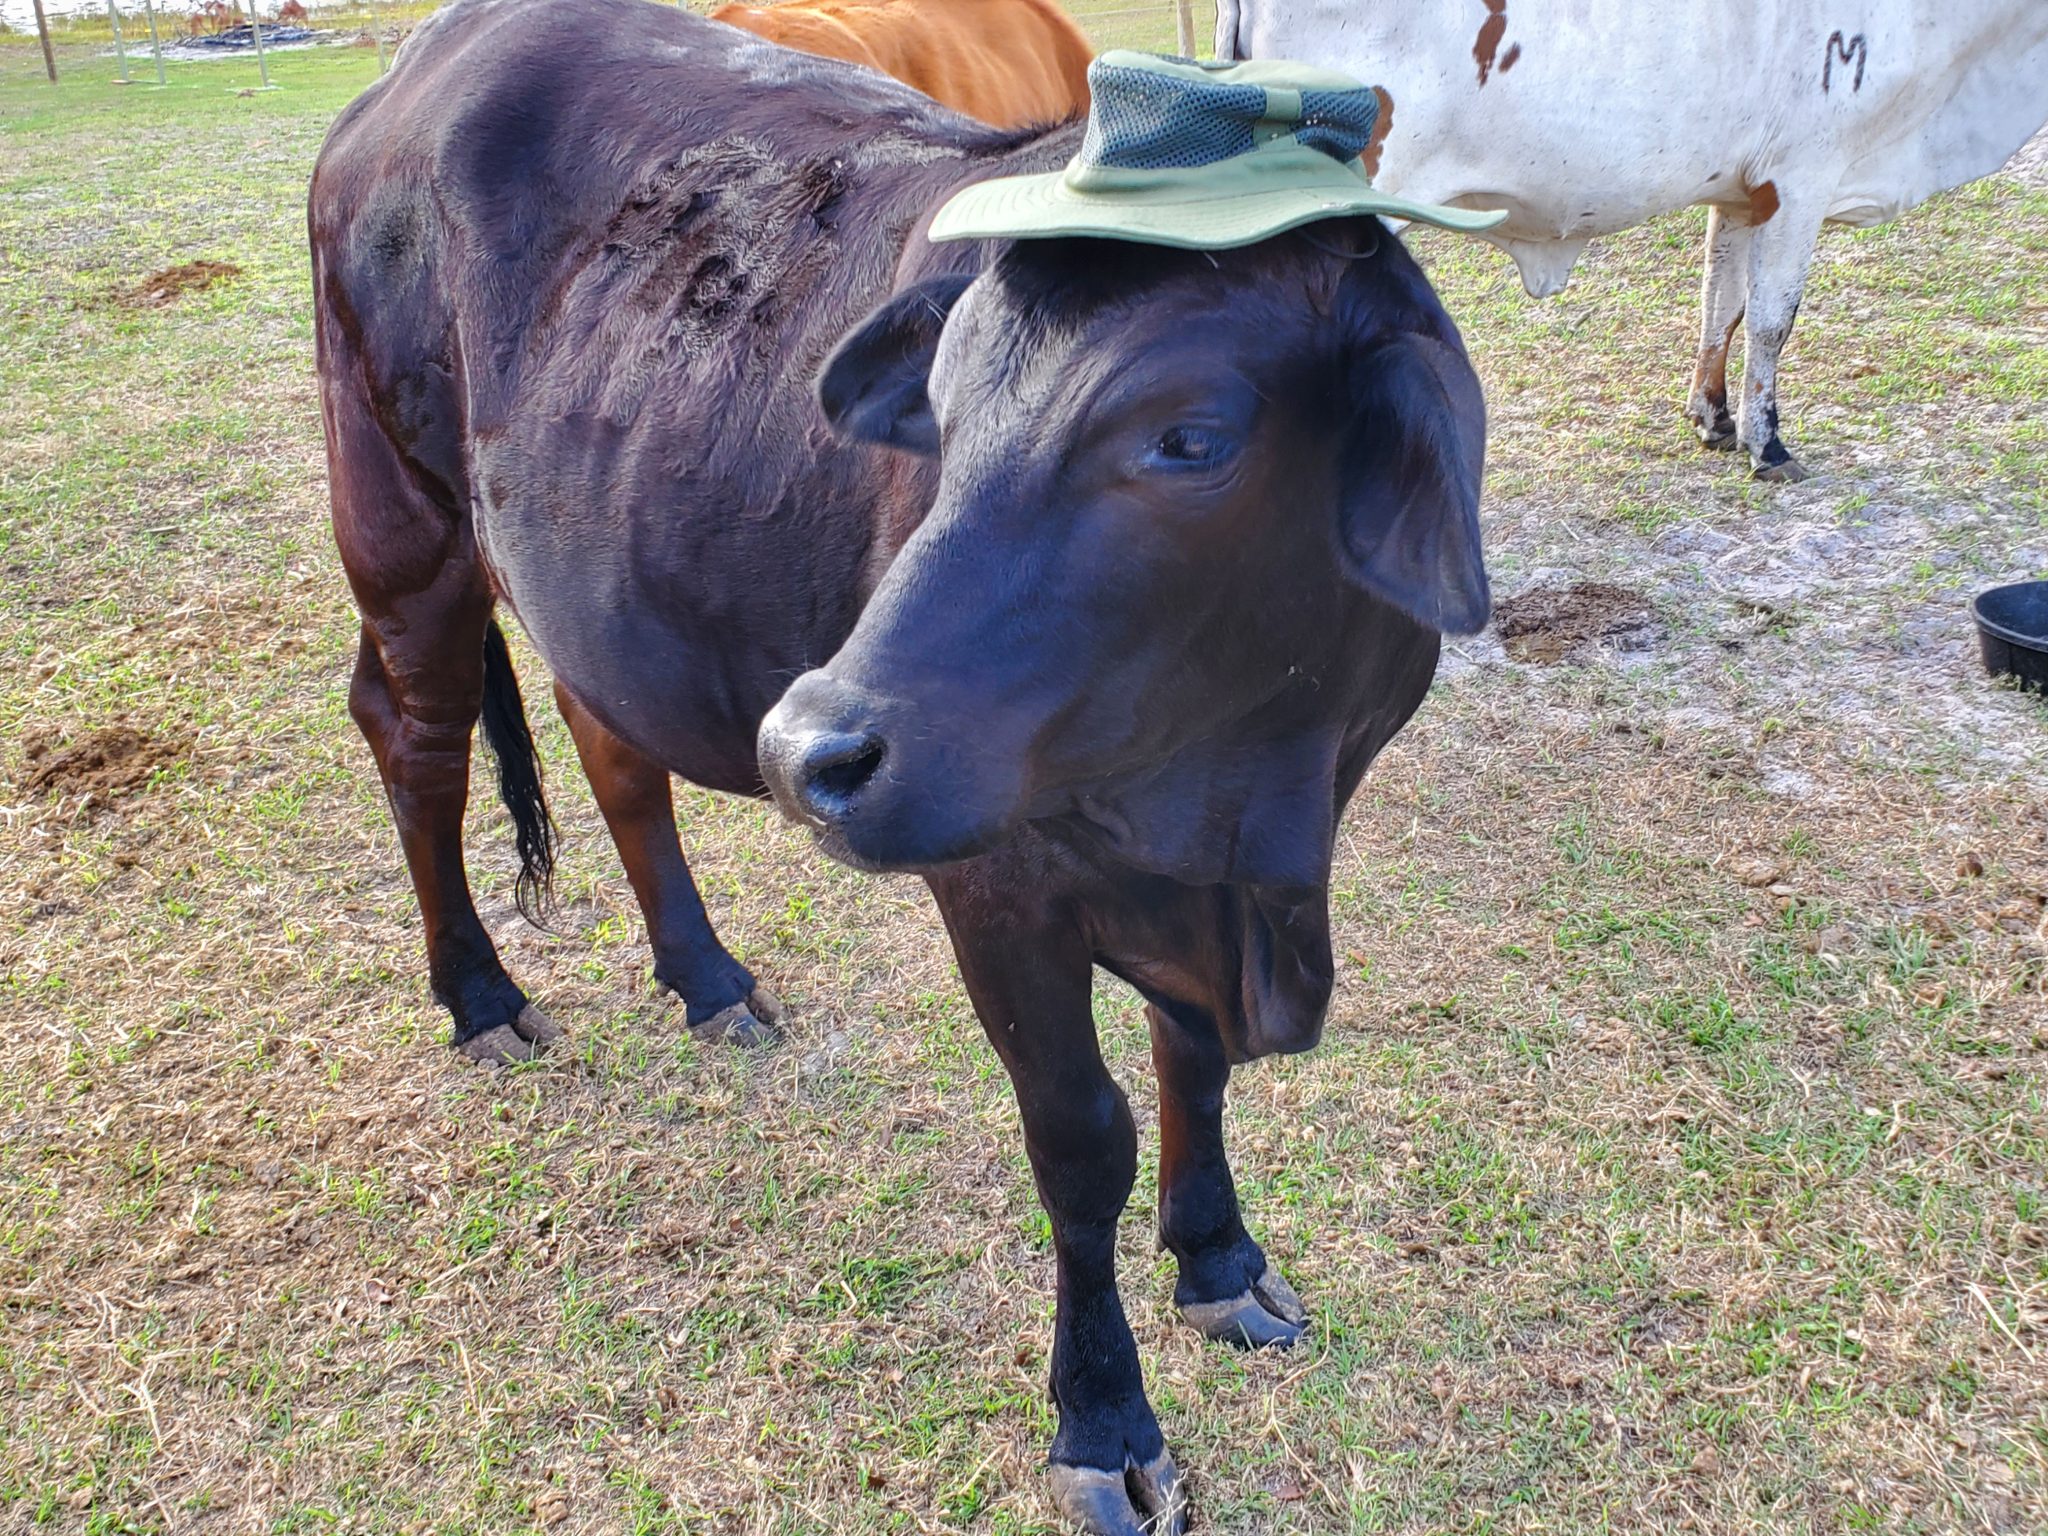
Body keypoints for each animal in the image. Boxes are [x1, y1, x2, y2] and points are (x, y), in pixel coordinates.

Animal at [1216, 0, 2048, 480]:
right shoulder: (1804, 176)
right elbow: (1772, 322)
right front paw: (1768, 444)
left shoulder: (1744, 192)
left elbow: (1723, 306)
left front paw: (1714, 417)